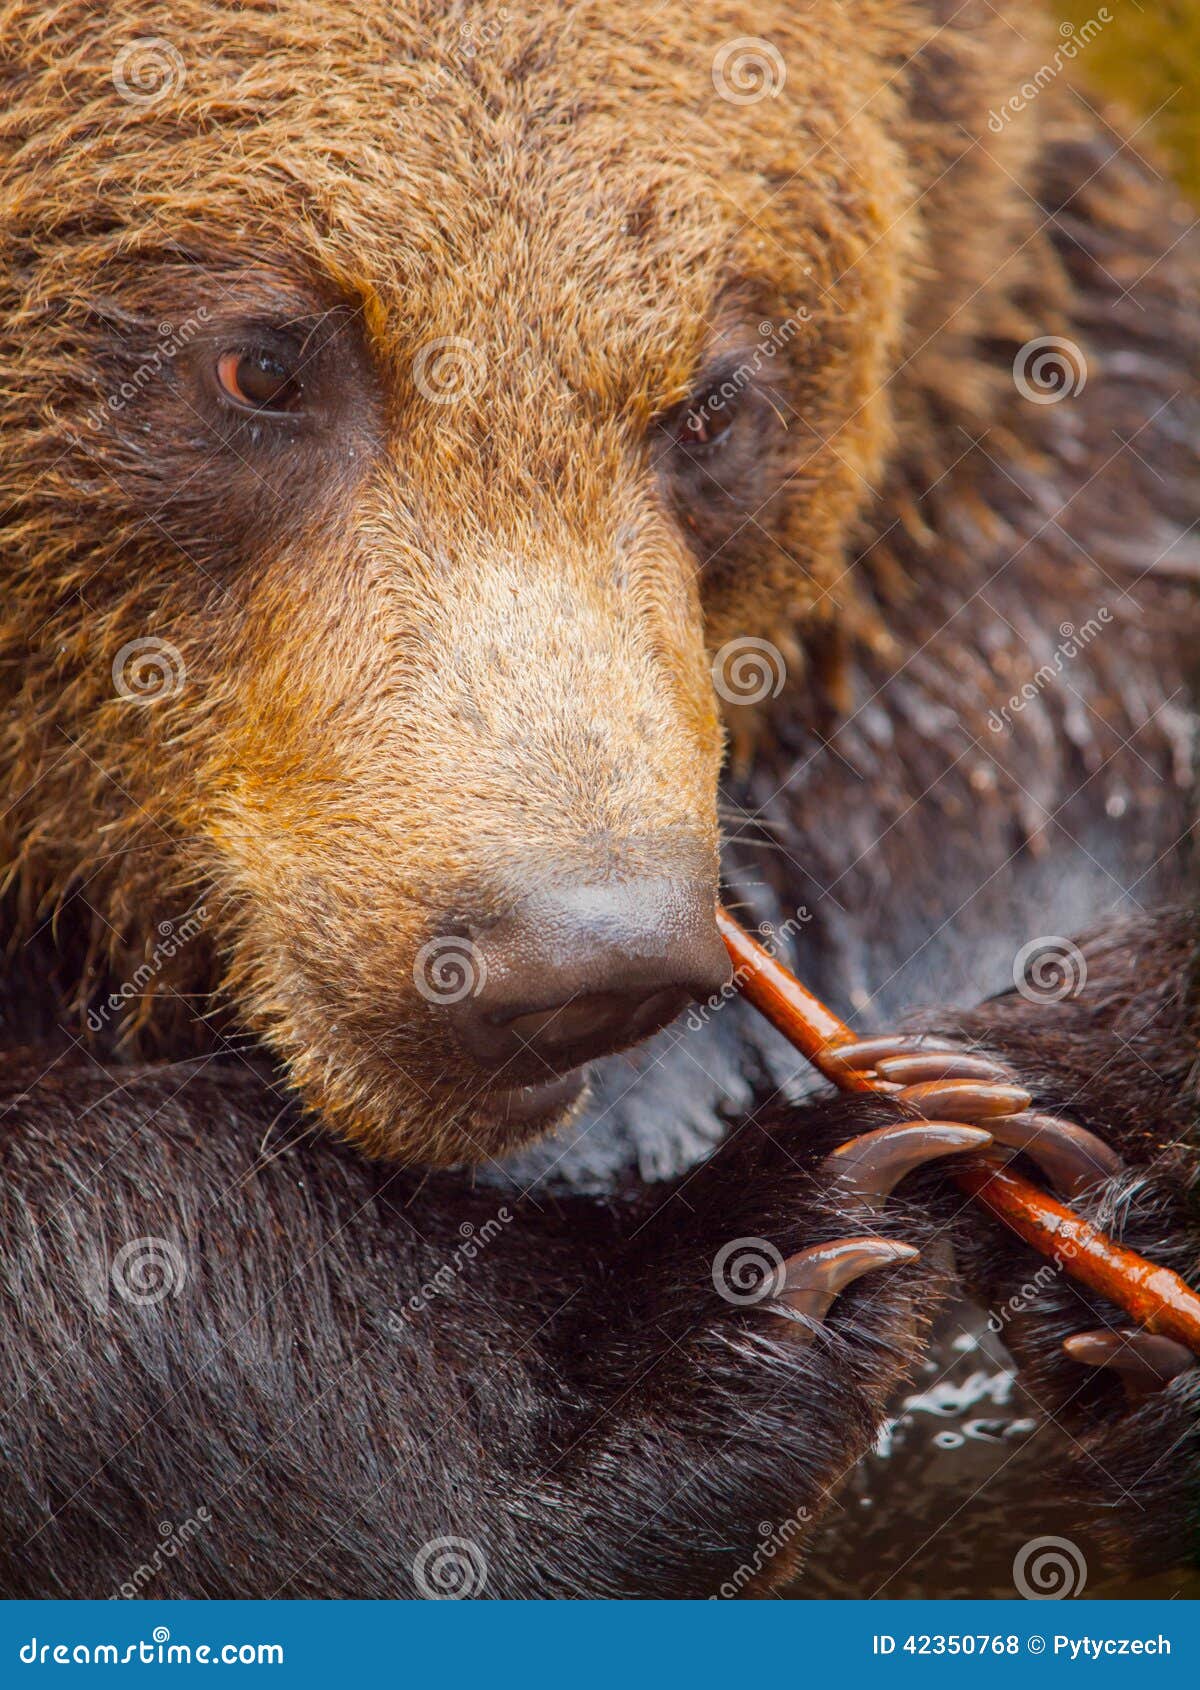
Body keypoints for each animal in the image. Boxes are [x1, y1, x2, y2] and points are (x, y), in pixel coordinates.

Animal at [0, 0, 1197, 1596]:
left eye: (714, 402)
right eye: (261, 363)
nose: (578, 954)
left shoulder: (1020, 644)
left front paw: (1087, 1128)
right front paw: (746, 1269)